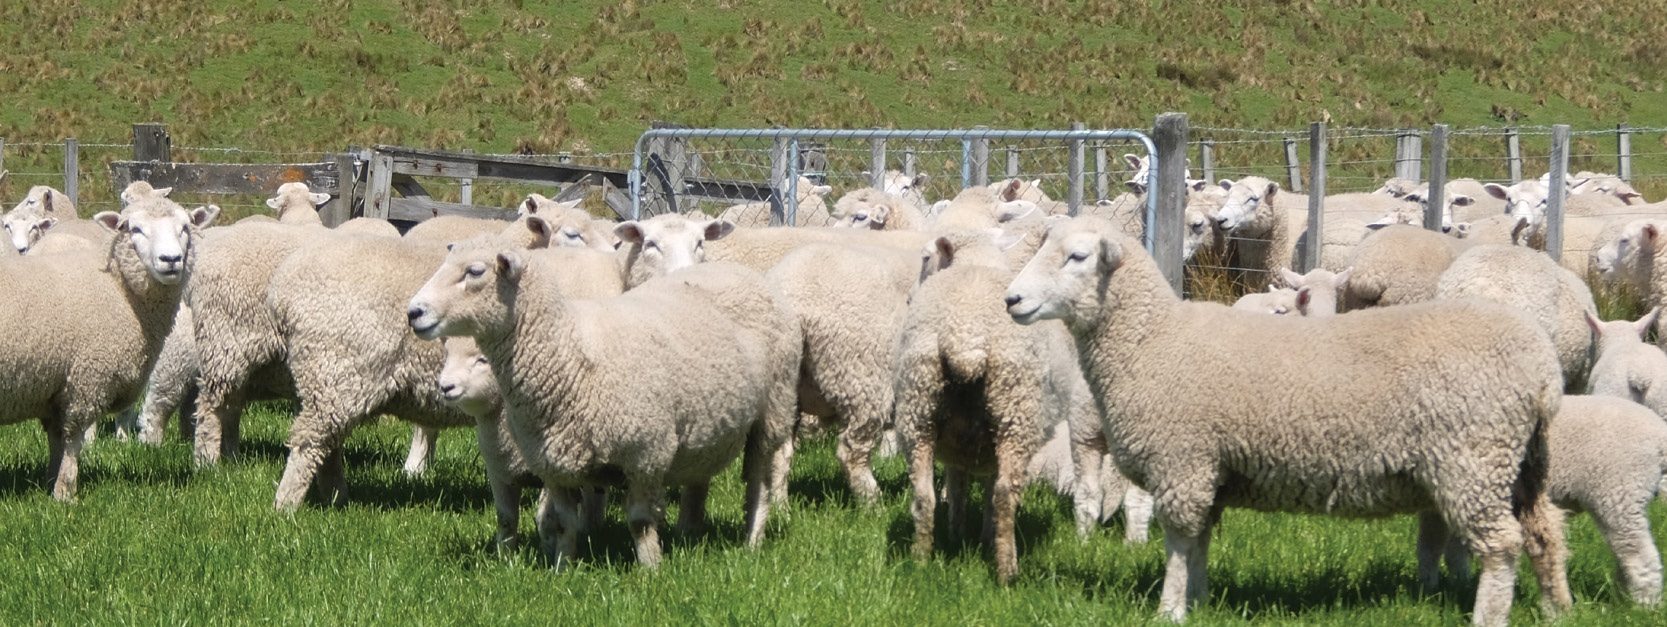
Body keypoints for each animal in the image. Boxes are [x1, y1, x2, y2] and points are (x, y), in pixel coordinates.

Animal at [0, 198, 218, 500]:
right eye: (135, 229)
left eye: (185, 227)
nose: (171, 260)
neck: (119, 287)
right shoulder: (86, 381)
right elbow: (73, 441)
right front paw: (66, 493)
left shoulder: (57, 387)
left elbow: (57, 440)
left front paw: (51, 482)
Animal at [405, 238, 800, 569]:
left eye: (475, 272)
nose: (413, 312)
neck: (571, 354)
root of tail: (743, 272)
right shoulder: (554, 463)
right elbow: (563, 523)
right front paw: (562, 569)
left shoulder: (645, 453)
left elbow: (640, 522)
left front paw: (651, 572)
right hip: (707, 424)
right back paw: (690, 533)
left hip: (772, 410)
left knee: (760, 483)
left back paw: (752, 542)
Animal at [1002, 216, 1571, 625]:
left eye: (1077, 257)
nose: (1011, 299)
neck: (1151, 340)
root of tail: (1543, 370)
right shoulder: (1211, 469)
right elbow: (1200, 542)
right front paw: (1201, 601)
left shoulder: (1183, 463)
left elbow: (1180, 544)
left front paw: (1170, 609)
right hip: (1520, 463)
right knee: (1543, 531)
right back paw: (1555, 608)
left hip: (1473, 459)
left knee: (1501, 546)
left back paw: (1488, 617)